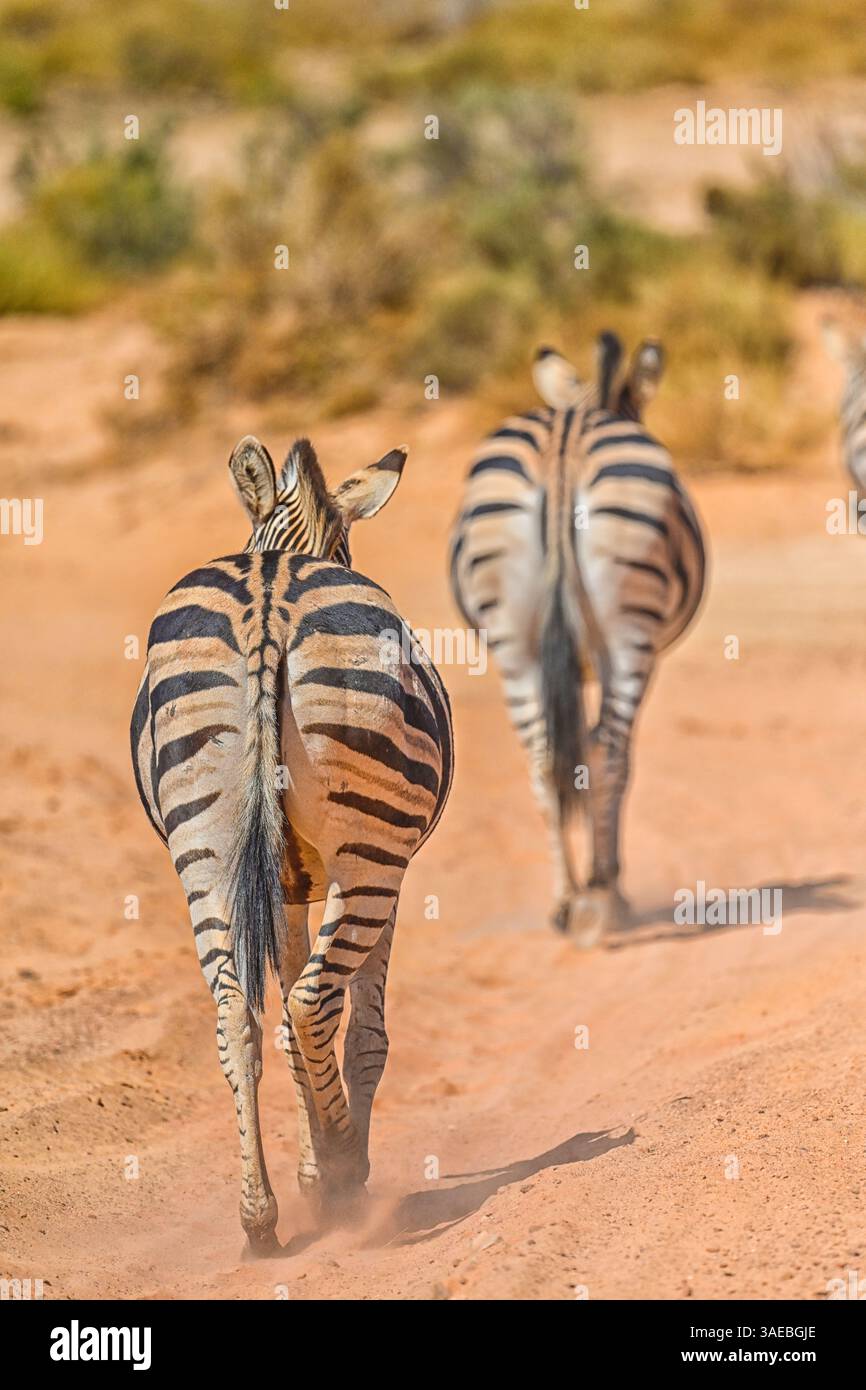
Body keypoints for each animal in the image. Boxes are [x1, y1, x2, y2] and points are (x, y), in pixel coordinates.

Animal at [131, 435, 453, 1253]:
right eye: (351, 548)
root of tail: (269, 604)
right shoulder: (385, 876)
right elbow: (356, 1028)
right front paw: (328, 1167)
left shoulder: (277, 882)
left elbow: (277, 1024)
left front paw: (305, 1173)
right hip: (368, 862)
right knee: (311, 1000)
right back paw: (341, 1170)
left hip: (207, 852)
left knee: (234, 1015)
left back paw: (259, 1217)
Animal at [450, 332, 706, 946]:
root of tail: (563, 445)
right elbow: (604, 753)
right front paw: (606, 878)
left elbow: (574, 755)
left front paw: (586, 883)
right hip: (630, 636)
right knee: (609, 754)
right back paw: (607, 901)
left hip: (515, 645)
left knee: (545, 759)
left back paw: (566, 901)